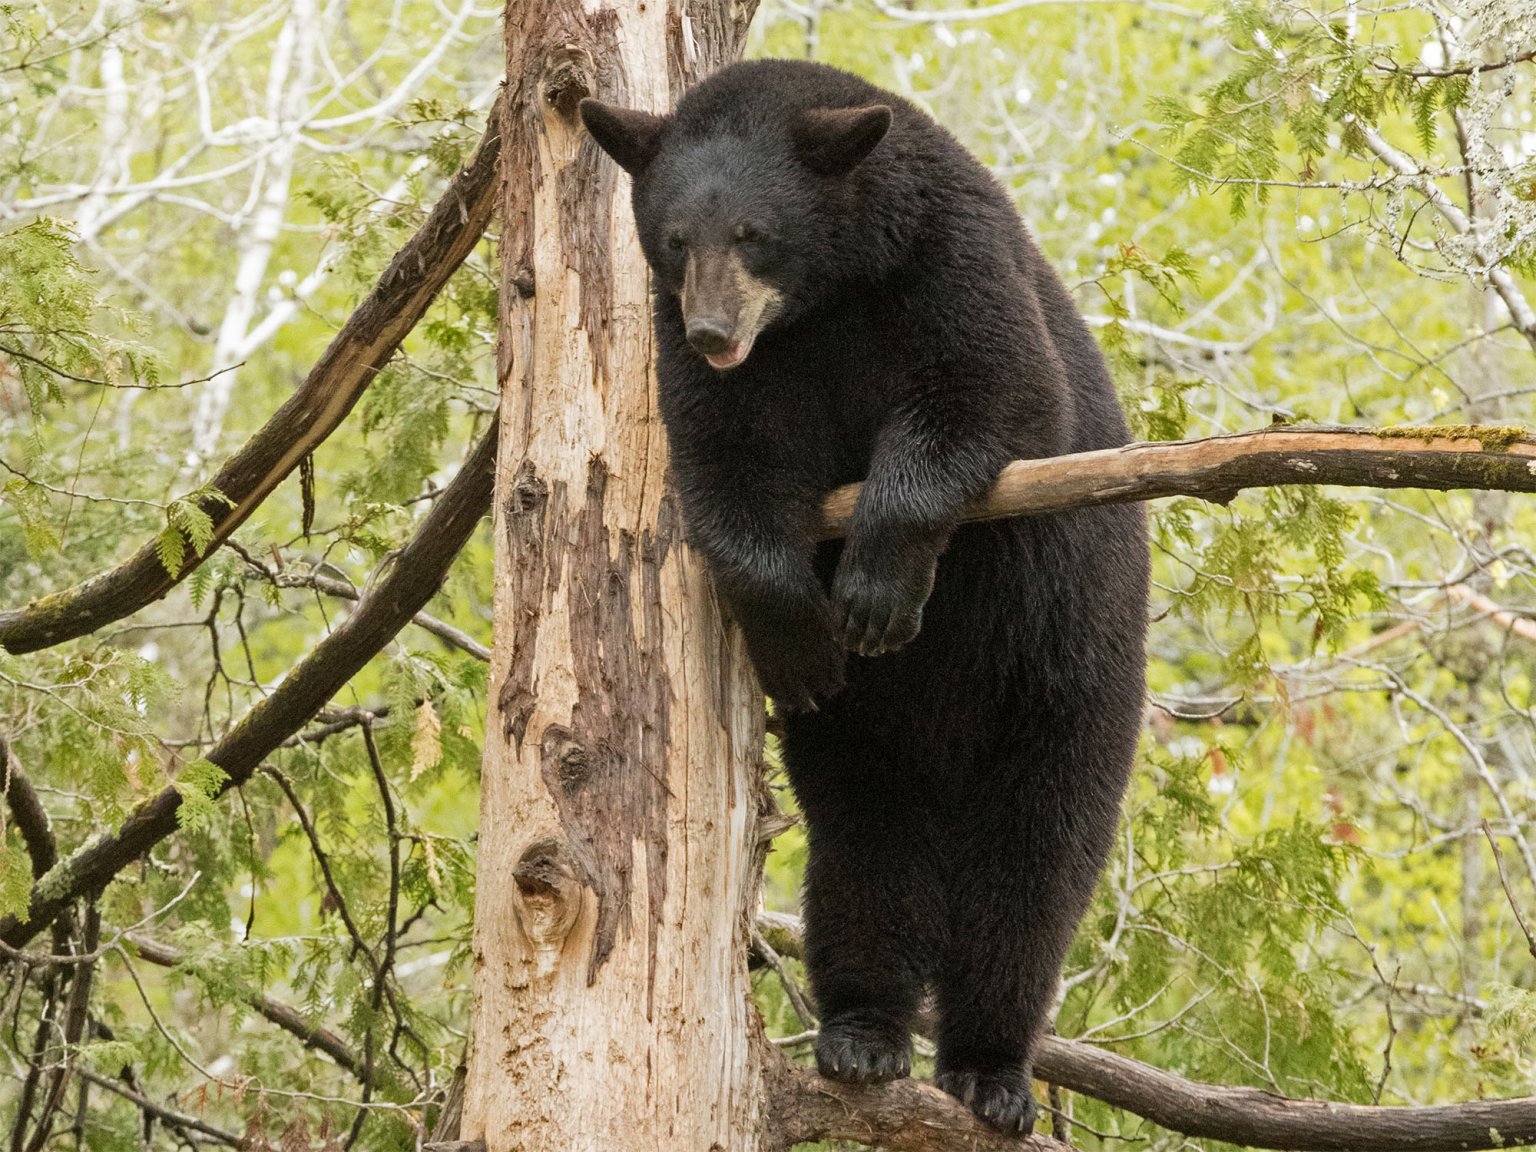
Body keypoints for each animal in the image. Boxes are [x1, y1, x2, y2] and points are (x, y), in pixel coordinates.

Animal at [580, 59, 1148, 1134]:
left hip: (1071, 681)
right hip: (869, 740)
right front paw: (802, 640)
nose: (713, 329)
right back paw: (863, 1033)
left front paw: (879, 592)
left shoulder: (953, 265)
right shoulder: (725, 373)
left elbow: (996, 393)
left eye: (752, 231)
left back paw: (989, 1070)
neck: (827, 303)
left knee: (1035, 870)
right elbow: (726, 470)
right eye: (674, 239)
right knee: (864, 852)